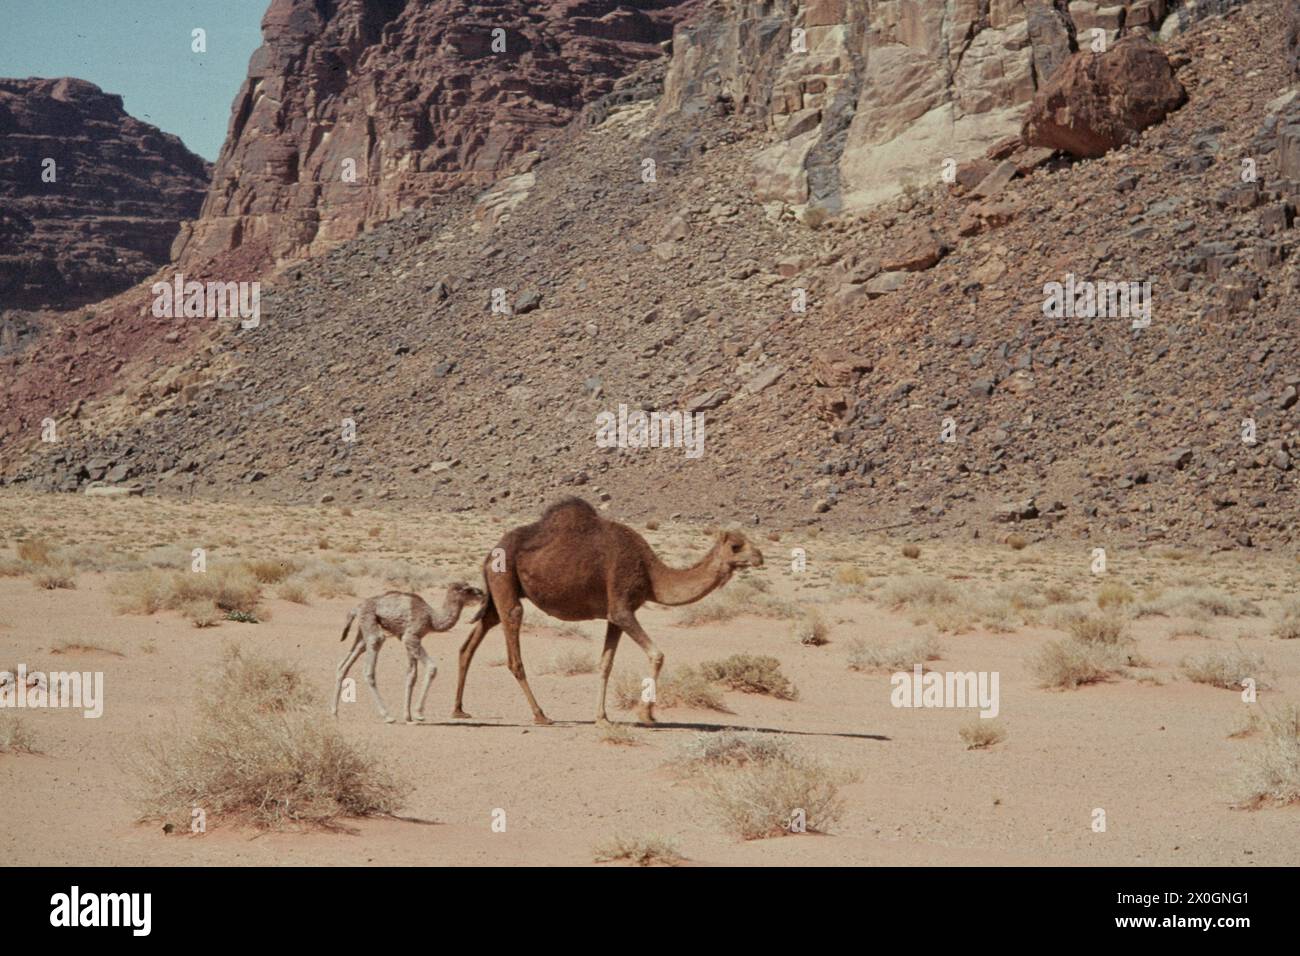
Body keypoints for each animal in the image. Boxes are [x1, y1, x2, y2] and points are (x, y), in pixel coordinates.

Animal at [333, 582, 484, 724]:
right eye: (468, 589)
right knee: (369, 667)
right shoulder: (411, 637)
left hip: (363, 630)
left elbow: (411, 675)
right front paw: (419, 713)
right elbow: (431, 668)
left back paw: (334, 714)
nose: (481, 592)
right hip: (370, 624)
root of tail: (356, 608)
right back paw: (387, 716)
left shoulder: (411, 640)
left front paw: (408, 716)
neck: (432, 619)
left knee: (344, 664)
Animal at [452, 498, 764, 726]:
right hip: (505, 583)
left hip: (498, 593)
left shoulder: (614, 615)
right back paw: (541, 715)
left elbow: (605, 664)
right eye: (736, 546)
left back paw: (458, 709)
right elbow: (657, 654)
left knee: (470, 644)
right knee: (514, 647)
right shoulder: (623, 609)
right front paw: (646, 715)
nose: (760, 556)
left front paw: (602, 717)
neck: (651, 575)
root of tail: (490, 553)